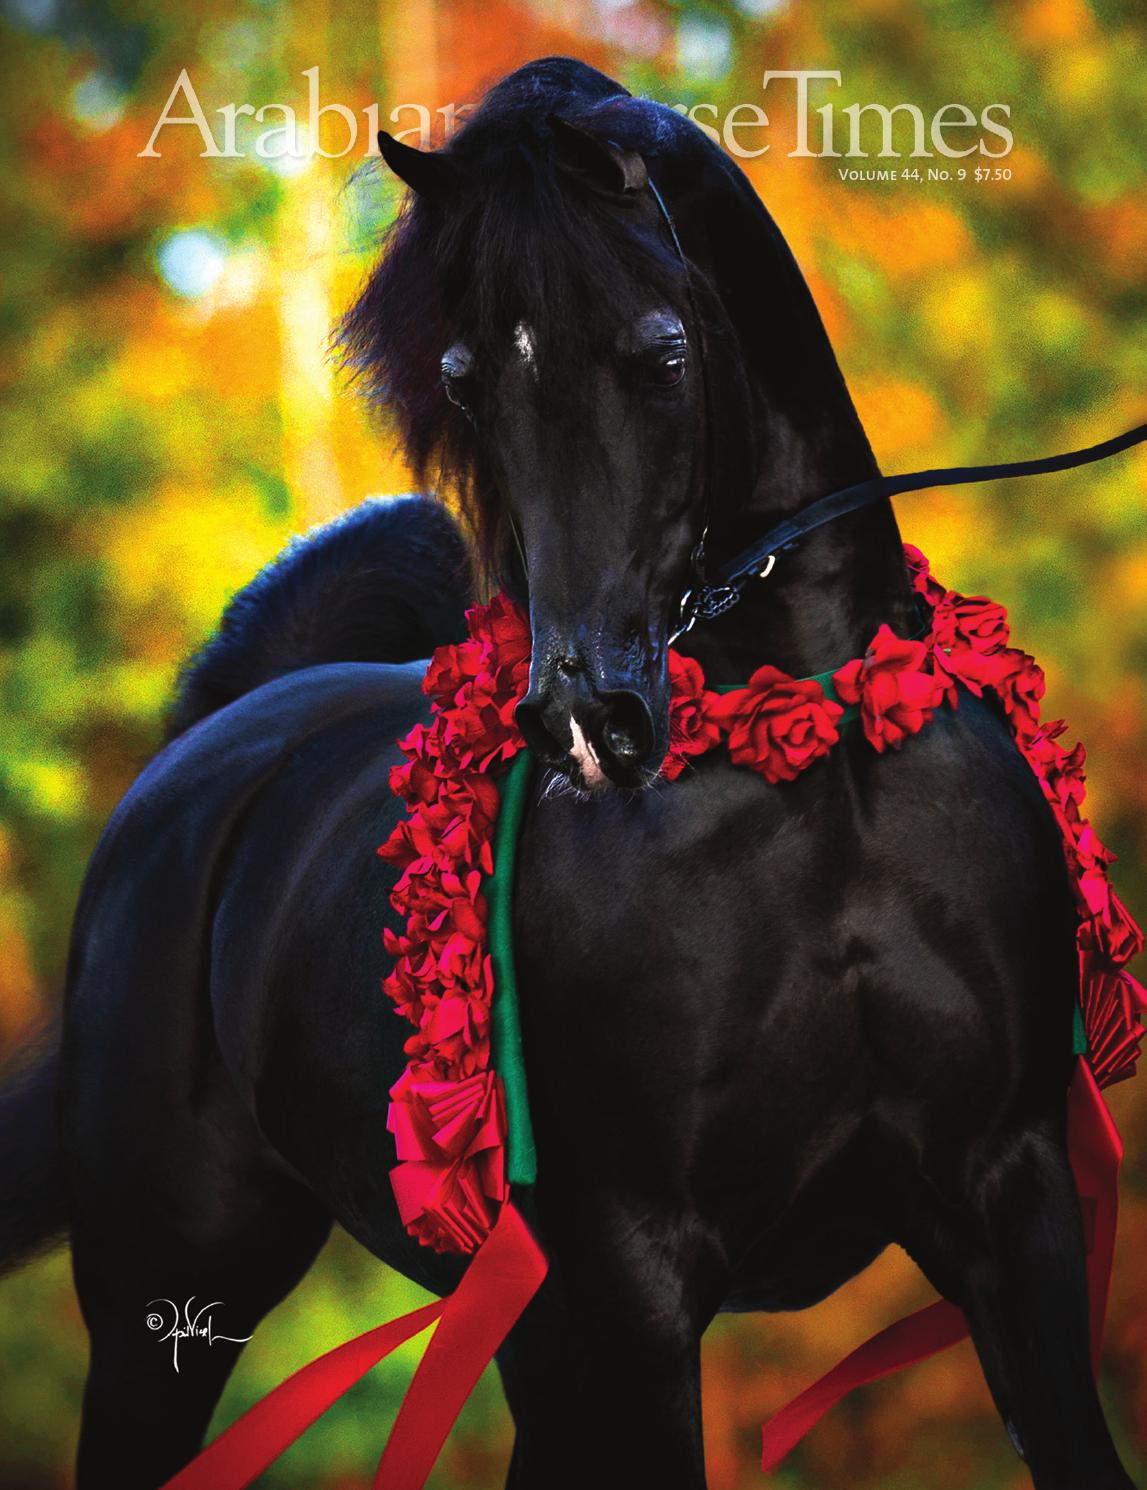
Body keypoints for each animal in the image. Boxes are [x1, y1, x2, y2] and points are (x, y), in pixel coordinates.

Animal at [0, 54, 1135, 1490]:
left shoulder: (1009, 1196)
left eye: (661, 354)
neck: (816, 773)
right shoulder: (631, 1276)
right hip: (168, 1293)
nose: (589, 715)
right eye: (465, 377)